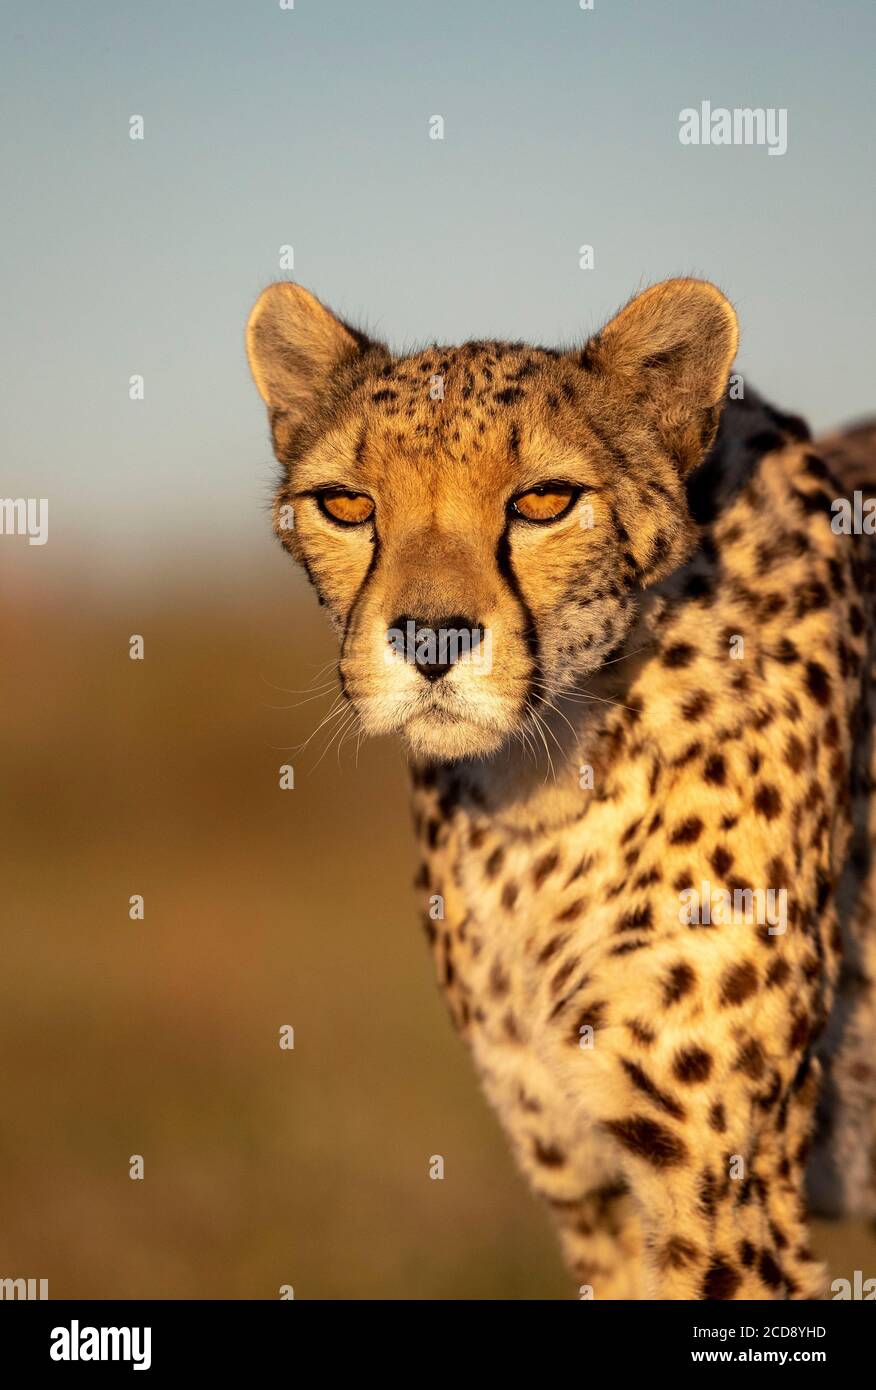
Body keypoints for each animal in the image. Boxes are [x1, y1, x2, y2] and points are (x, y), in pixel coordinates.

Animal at [245, 277, 876, 1299]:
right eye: (344, 503)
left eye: (545, 499)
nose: (431, 639)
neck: (540, 789)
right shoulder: (587, 1188)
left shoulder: (721, 1187)